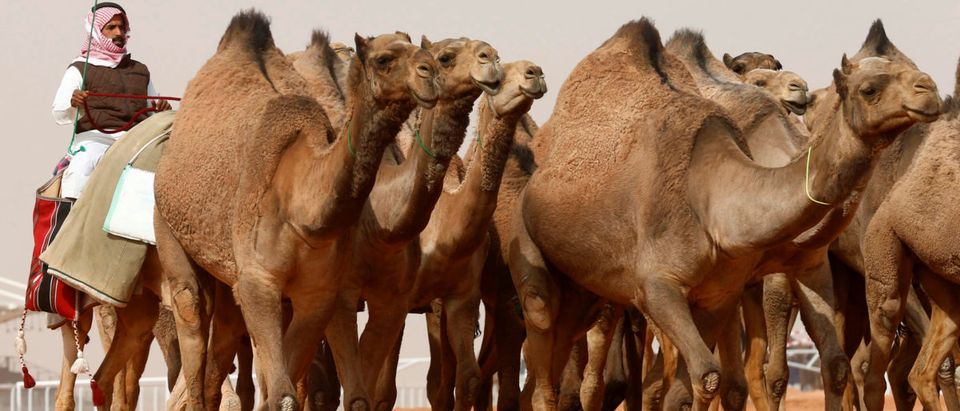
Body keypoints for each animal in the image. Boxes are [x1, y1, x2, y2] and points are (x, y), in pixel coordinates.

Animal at [153, 10, 440, 410]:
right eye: (384, 59)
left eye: (420, 49)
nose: (430, 72)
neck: (305, 214)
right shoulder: (258, 282)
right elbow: (283, 393)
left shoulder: (317, 294)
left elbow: (286, 383)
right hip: (166, 226)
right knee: (191, 312)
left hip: (229, 277)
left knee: (221, 344)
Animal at [507, 18, 939, 411]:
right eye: (869, 88)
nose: (929, 88)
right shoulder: (658, 287)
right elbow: (712, 377)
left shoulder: (750, 282)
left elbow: (819, 366)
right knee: (550, 352)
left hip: (586, 289)